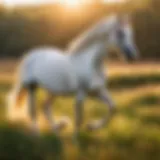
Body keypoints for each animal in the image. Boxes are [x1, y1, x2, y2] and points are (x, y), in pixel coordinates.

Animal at [6, 13, 138, 134]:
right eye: (120, 33)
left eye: (131, 34)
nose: (132, 56)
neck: (90, 63)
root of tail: (30, 55)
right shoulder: (81, 94)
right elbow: (79, 119)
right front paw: (77, 139)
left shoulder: (97, 91)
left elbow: (112, 107)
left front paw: (92, 126)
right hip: (31, 87)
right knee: (32, 111)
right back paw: (36, 134)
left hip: (53, 91)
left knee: (45, 107)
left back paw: (57, 128)